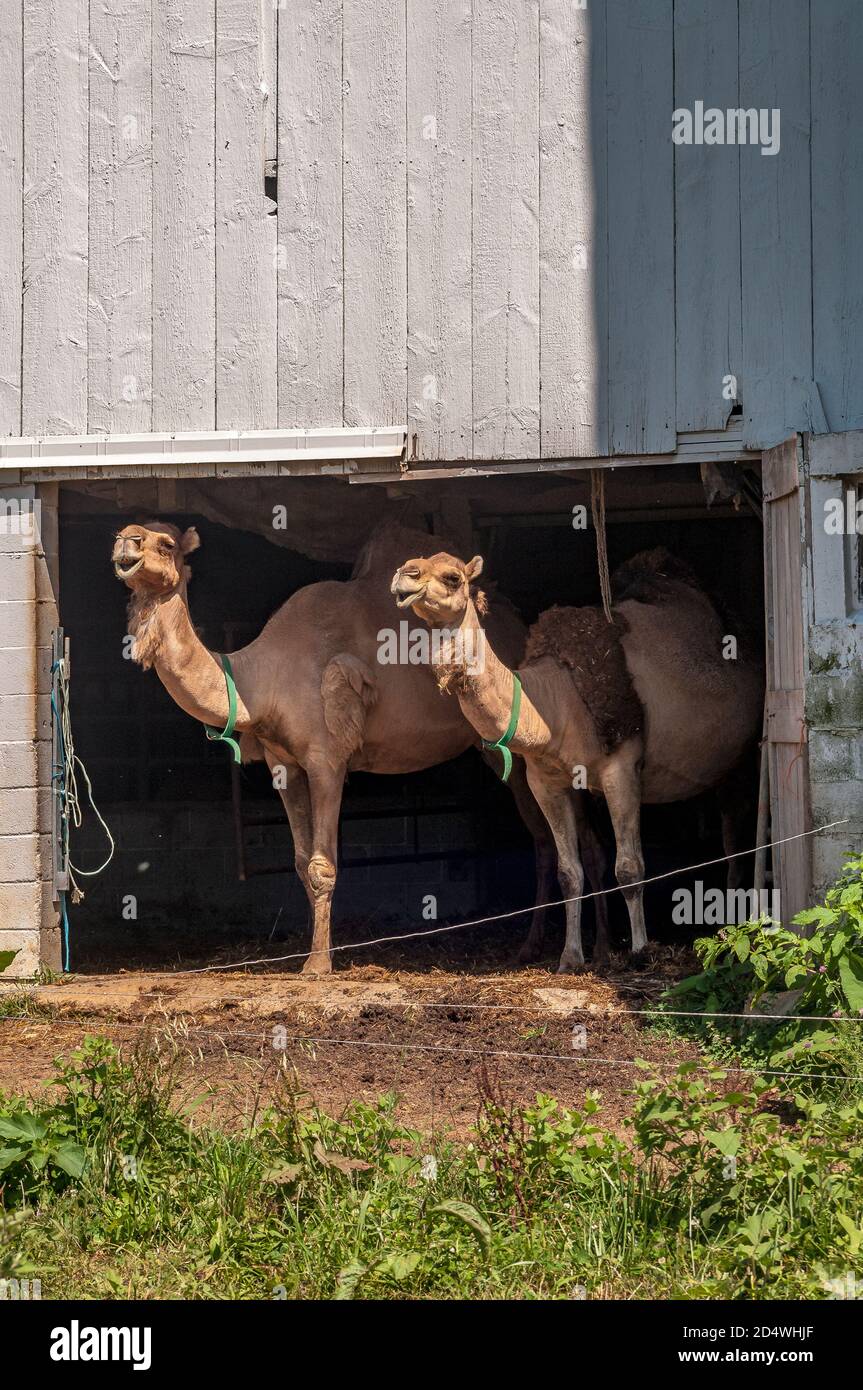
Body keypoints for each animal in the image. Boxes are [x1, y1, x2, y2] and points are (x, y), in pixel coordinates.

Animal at [111, 519, 605, 972]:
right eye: (134, 532)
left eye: (166, 543)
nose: (124, 541)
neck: (261, 678)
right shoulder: (282, 764)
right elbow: (299, 862)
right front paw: (313, 952)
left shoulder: (326, 757)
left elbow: (322, 865)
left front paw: (317, 965)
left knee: (554, 838)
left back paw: (562, 948)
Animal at [391, 546, 764, 972]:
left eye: (453, 577)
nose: (405, 574)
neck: (555, 703)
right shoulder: (545, 781)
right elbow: (569, 872)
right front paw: (570, 957)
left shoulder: (622, 769)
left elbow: (629, 868)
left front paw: (640, 951)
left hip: (741, 761)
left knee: (735, 841)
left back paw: (732, 928)